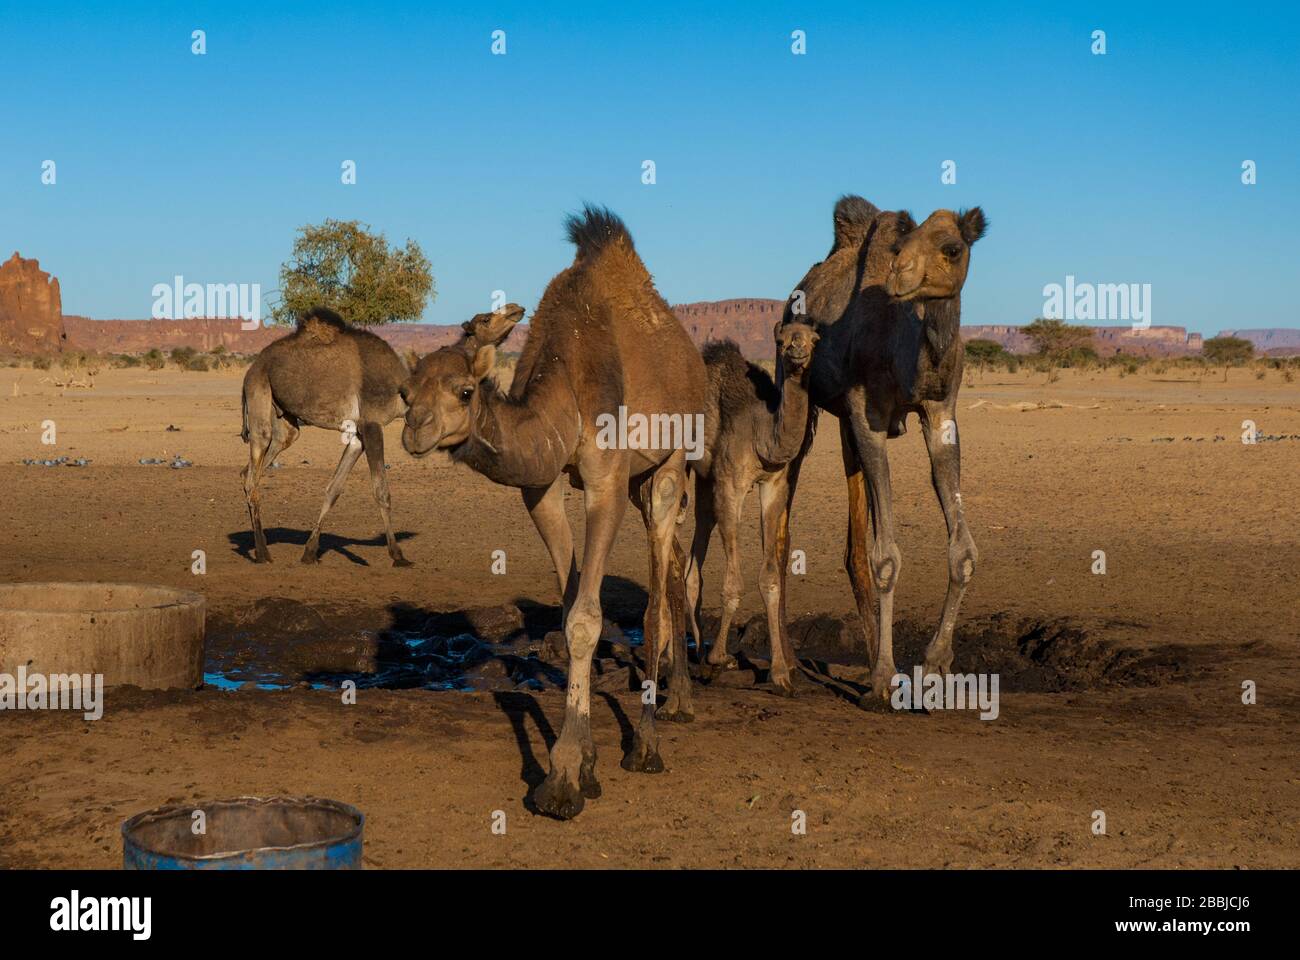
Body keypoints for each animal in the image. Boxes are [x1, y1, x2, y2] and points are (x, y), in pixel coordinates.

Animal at [239, 303, 525, 565]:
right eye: (486, 318)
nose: (516, 309)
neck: (402, 390)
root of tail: (254, 366)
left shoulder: (357, 434)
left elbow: (333, 489)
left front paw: (309, 553)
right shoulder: (372, 424)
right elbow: (381, 490)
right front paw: (398, 555)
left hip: (286, 422)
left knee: (252, 468)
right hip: (259, 392)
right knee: (253, 471)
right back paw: (262, 553)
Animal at [401, 206, 706, 819]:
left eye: (464, 390)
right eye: (405, 391)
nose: (413, 430)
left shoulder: (606, 478)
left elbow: (587, 618)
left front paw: (561, 779)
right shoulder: (539, 490)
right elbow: (567, 613)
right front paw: (585, 762)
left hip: (669, 462)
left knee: (656, 596)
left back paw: (647, 743)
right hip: (641, 479)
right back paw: (673, 706)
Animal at [683, 321, 819, 696]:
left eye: (814, 339)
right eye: (781, 339)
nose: (797, 350)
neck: (763, 436)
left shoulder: (773, 485)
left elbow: (770, 578)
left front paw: (781, 675)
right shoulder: (731, 484)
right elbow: (733, 583)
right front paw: (720, 658)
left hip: (704, 477)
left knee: (698, 536)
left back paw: (697, 651)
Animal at [782, 195, 987, 703]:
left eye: (952, 247)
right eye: (902, 246)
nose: (899, 276)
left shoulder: (940, 411)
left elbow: (962, 552)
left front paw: (934, 665)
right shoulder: (867, 414)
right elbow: (887, 557)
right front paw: (880, 679)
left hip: (843, 425)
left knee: (855, 542)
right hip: (795, 386)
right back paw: (792, 665)